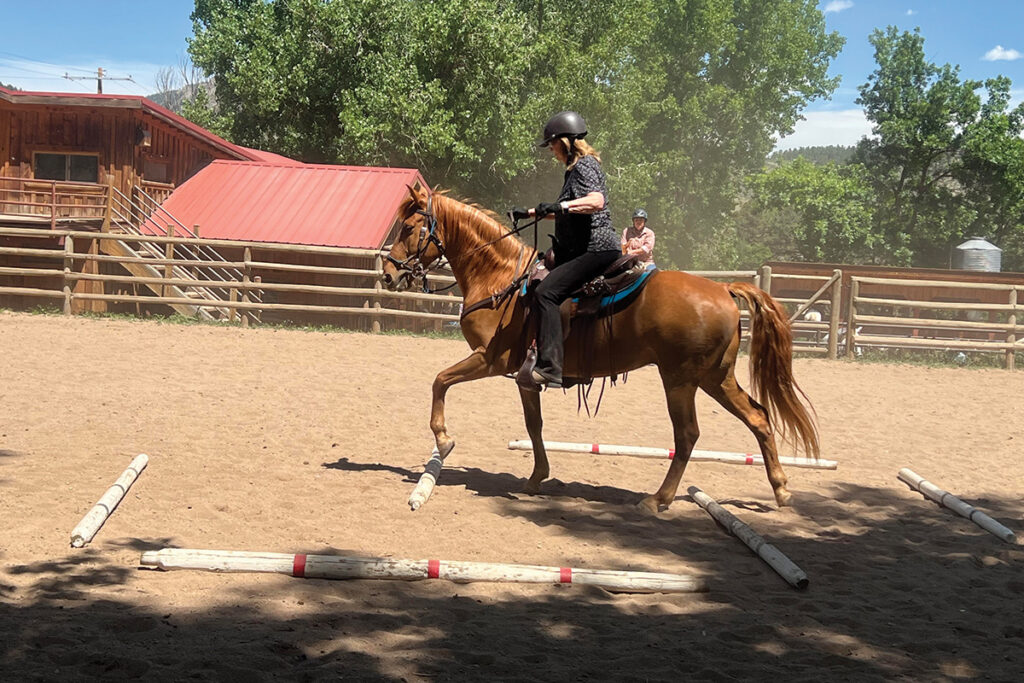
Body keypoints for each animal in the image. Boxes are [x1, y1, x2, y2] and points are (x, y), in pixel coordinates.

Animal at [381, 185, 818, 512]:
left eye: (410, 227)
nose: (387, 274)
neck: (501, 280)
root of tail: (724, 289)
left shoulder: (489, 360)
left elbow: (440, 381)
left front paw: (443, 439)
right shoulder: (524, 377)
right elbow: (534, 425)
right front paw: (536, 478)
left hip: (680, 379)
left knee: (688, 435)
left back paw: (658, 499)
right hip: (716, 378)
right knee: (758, 417)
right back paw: (781, 489)